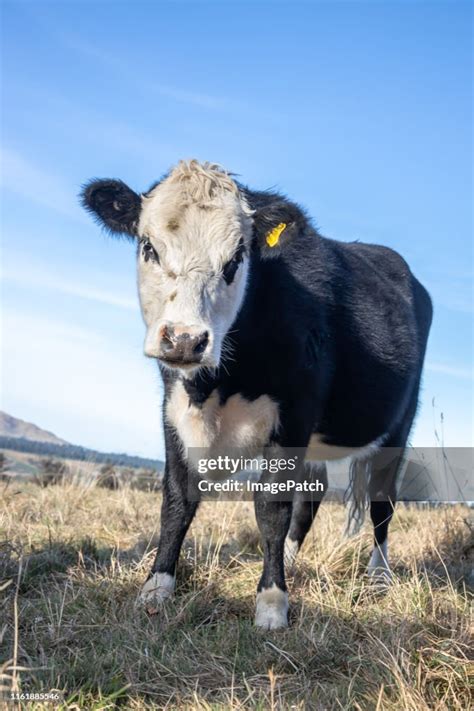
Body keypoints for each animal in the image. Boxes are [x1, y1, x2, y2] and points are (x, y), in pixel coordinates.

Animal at [81, 160, 432, 629]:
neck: (217, 384)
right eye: (148, 246)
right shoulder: (173, 408)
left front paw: (271, 601)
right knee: (311, 499)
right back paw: (290, 560)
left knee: (382, 502)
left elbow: (271, 508)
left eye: (236, 259)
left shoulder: (295, 415)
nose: (185, 339)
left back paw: (378, 577)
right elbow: (176, 500)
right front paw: (156, 587)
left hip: (397, 426)